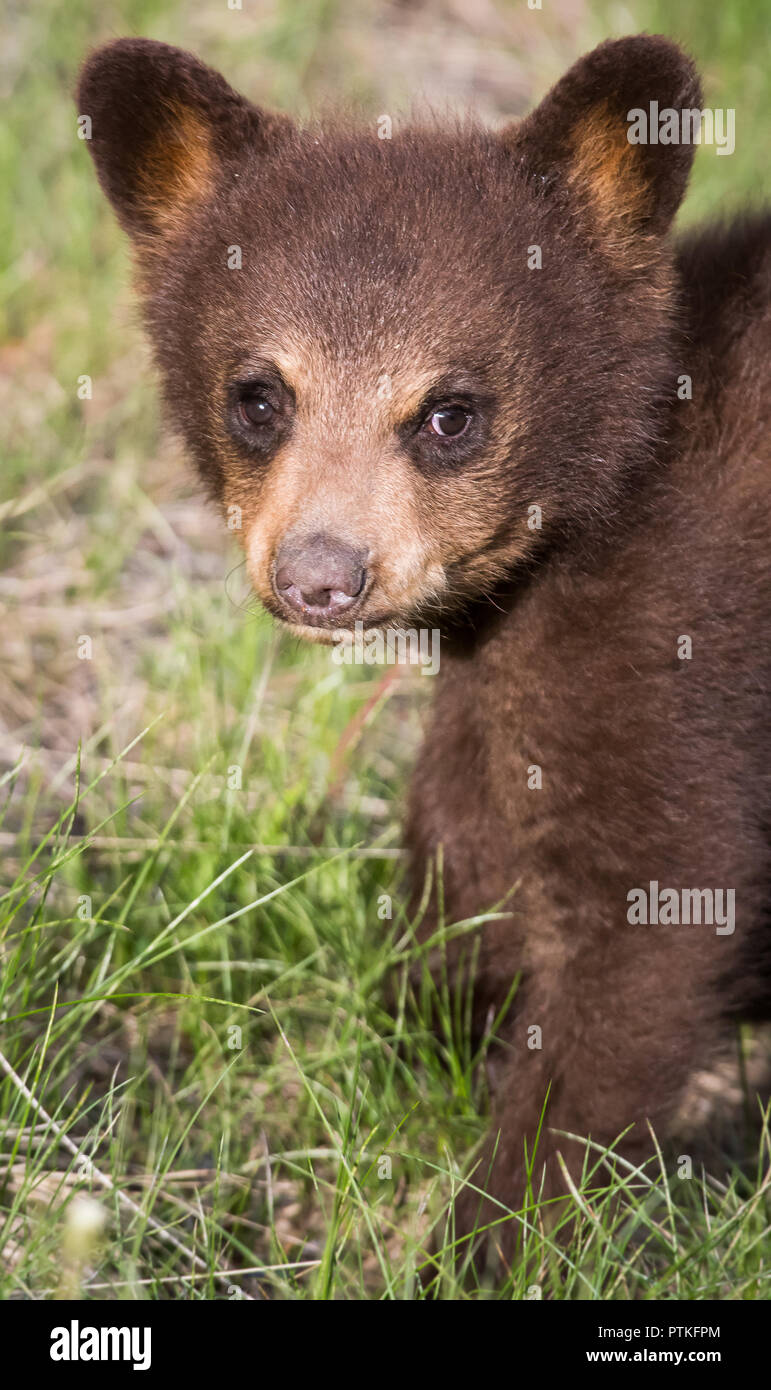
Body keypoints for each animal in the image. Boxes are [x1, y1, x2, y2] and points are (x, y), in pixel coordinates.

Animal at [77, 33, 771, 1266]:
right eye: (259, 396)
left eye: (450, 413)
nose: (320, 575)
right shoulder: (501, 689)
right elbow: (467, 840)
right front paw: (409, 1033)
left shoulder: (689, 644)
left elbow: (654, 922)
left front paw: (488, 1236)